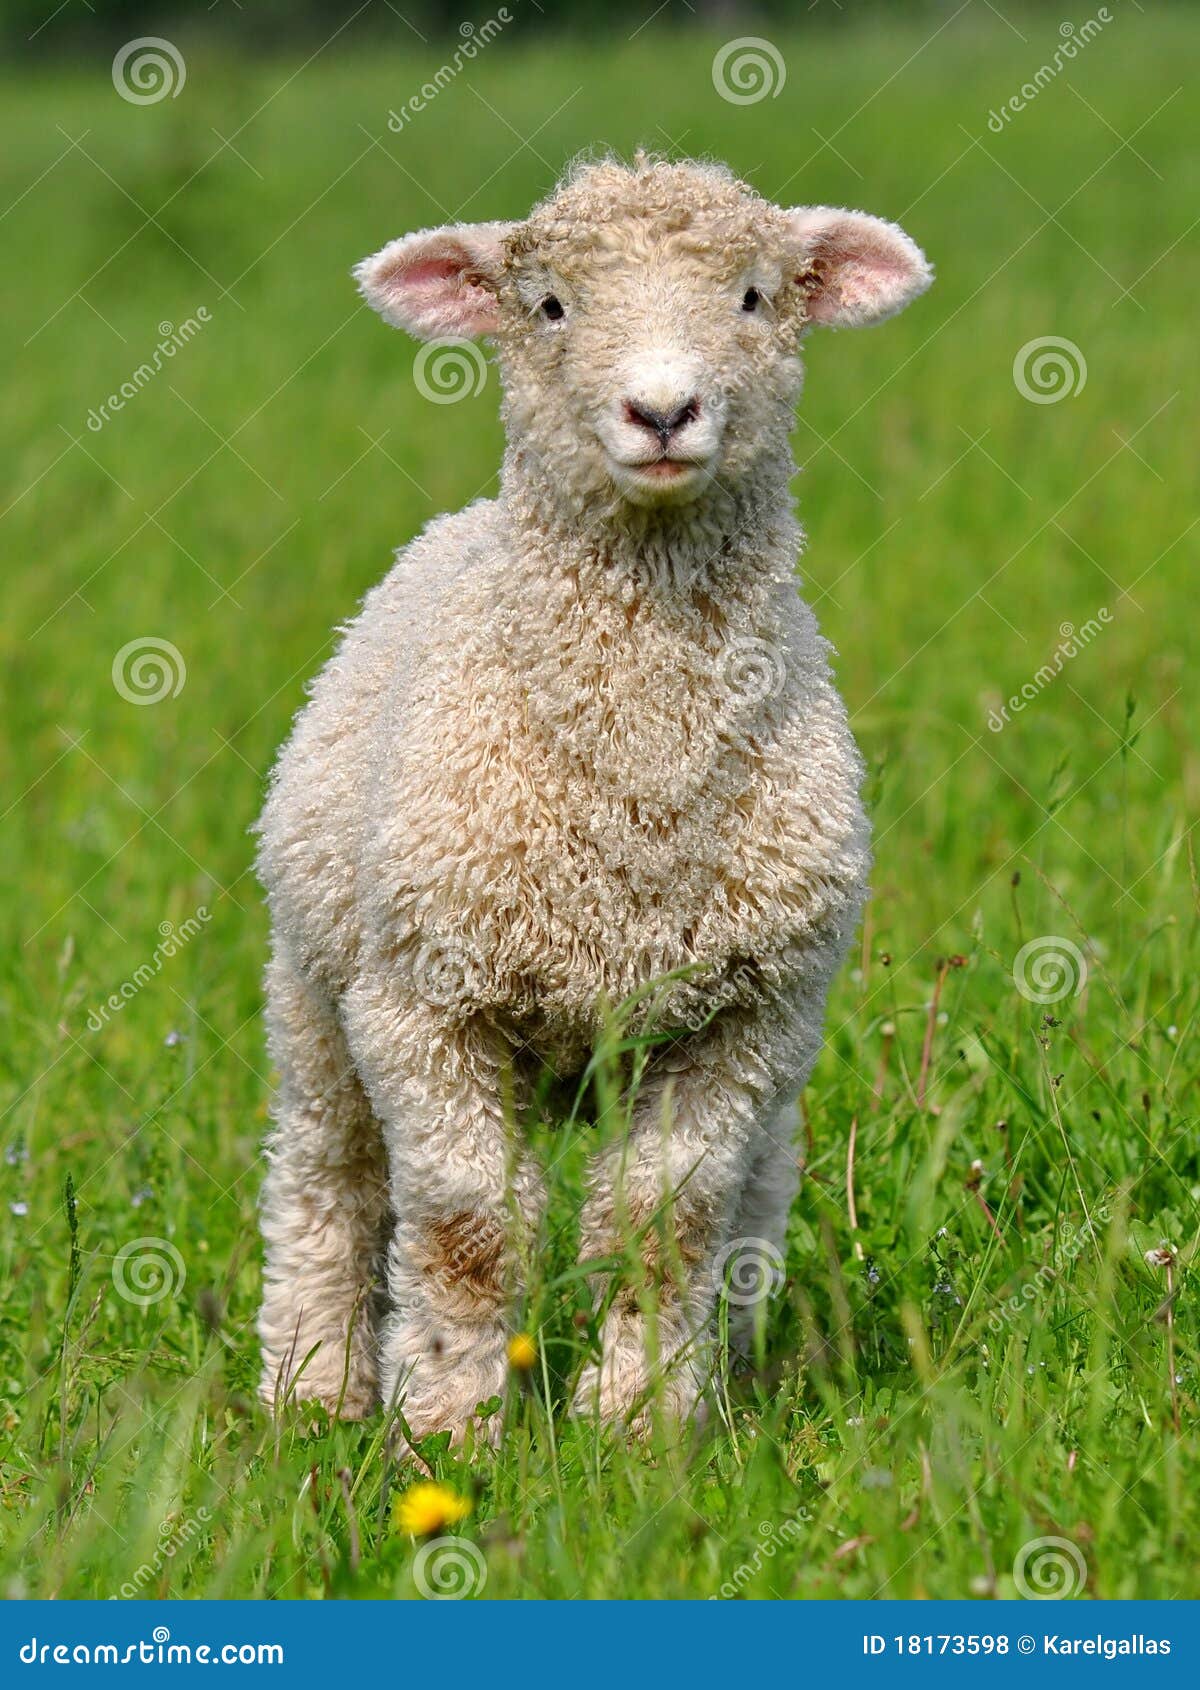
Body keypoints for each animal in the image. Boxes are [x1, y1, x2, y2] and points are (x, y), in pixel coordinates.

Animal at [255, 154, 932, 1440]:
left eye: (756, 295)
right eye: (551, 305)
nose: (662, 413)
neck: (639, 780)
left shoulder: (741, 1017)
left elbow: (668, 1229)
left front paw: (639, 1424)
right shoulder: (425, 1001)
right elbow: (468, 1232)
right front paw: (449, 1427)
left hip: (780, 1063)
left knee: (757, 1198)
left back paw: (737, 1367)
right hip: (315, 992)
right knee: (330, 1183)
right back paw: (310, 1389)